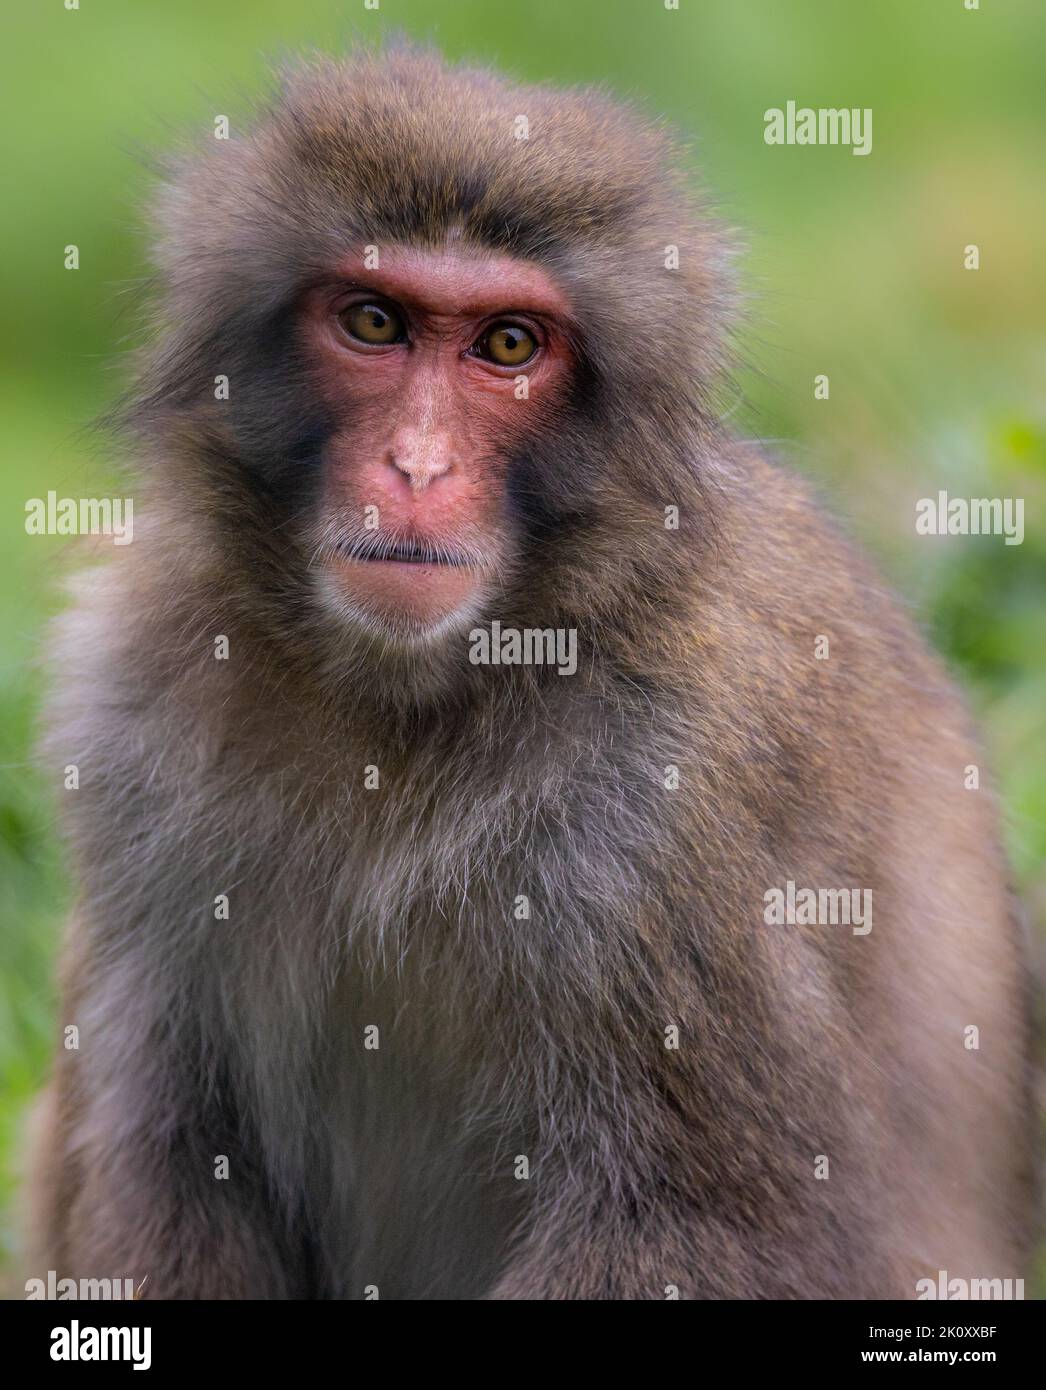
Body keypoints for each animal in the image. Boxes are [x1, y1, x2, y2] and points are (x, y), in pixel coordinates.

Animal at [24, 47, 1034, 1300]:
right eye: (373, 321)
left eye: (507, 346)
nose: (415, 465)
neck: (408, 699)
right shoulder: (125, 706)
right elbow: (163, 1153)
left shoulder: (672, 807)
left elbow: (698, 1217)